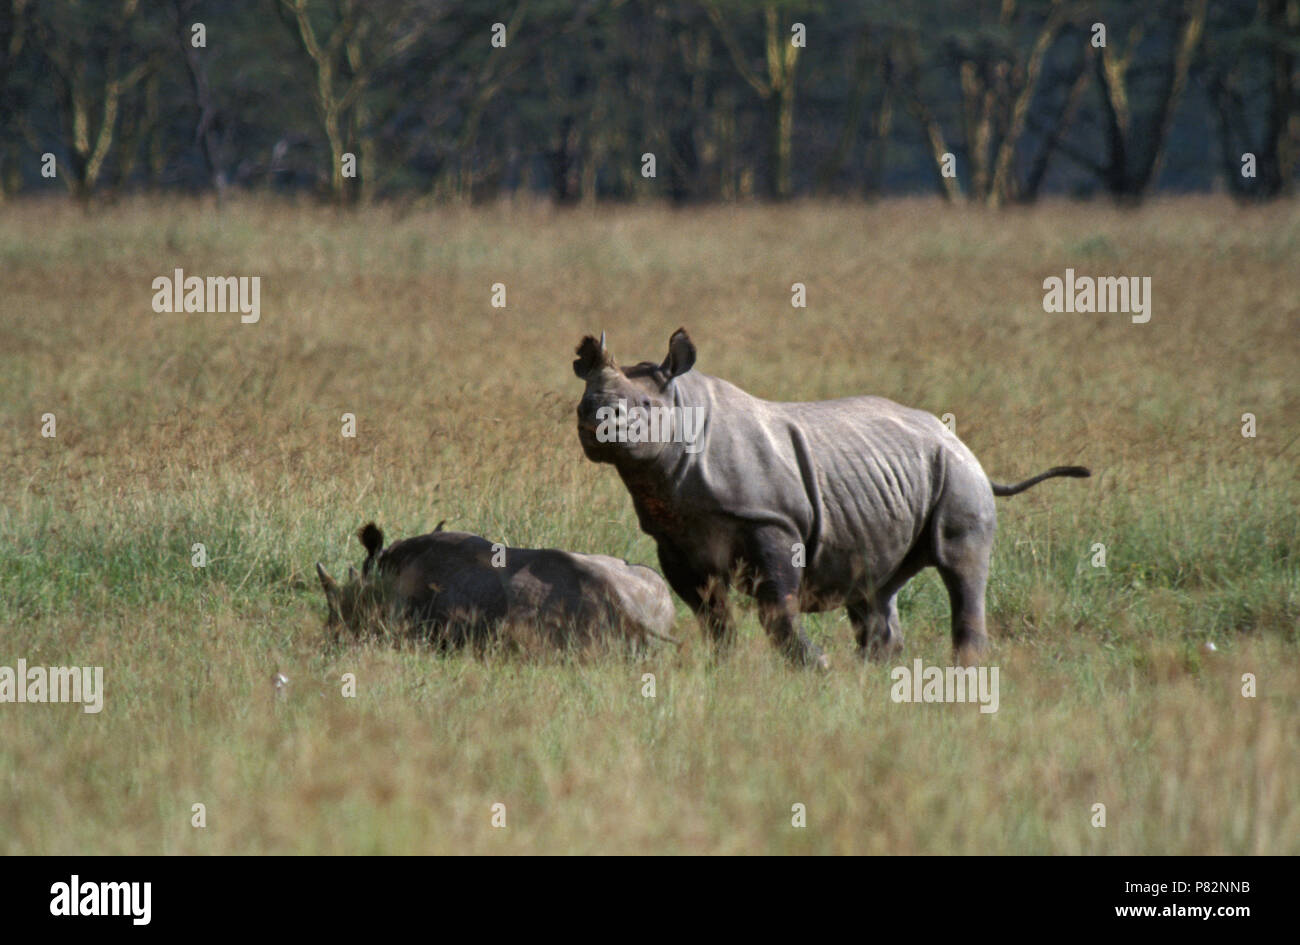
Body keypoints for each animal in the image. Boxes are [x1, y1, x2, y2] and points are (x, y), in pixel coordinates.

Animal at [572, 328, 1089, 669]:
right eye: (584, 399)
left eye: (643, 407)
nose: (593, 417)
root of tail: (959, 442)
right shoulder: (674, 535)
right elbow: (709, 610)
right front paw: (726, 667)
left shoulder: (771, 520)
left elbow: (777, 605)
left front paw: (813, 667)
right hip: (893, 475)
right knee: (876, 583)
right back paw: (875, 670)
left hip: (957, 472)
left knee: (960, 565)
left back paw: (965, 669)